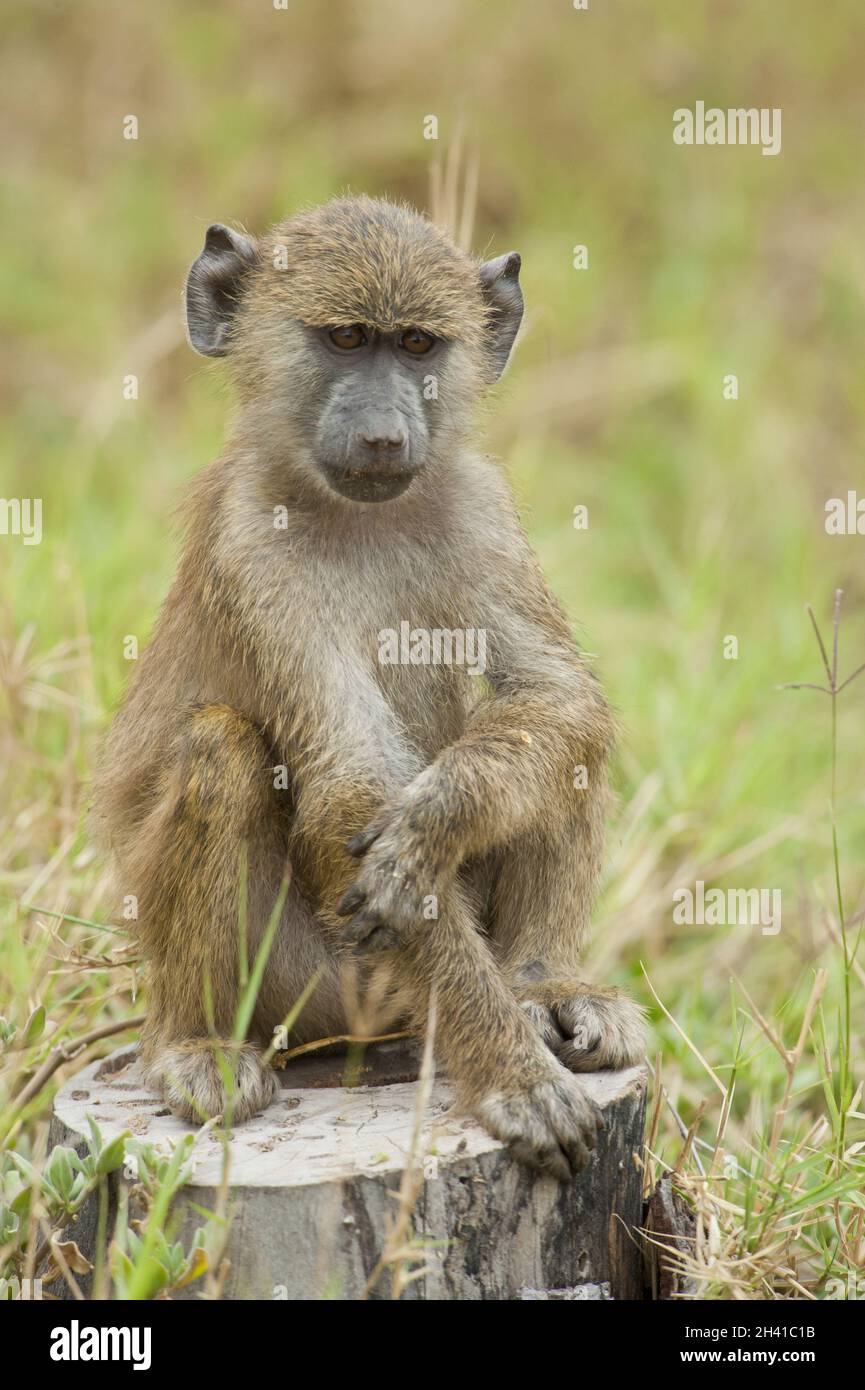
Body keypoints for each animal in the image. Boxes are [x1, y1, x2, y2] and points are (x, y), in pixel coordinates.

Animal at [92, 195, 645, 1182]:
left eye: (418, 345)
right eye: (347, 338)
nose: (386, 435)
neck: (356, 512)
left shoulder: (479, 504)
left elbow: (556, 699)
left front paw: (431, 824)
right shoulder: (253, 548)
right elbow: (347, 780)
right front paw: (512, 1078)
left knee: (561, 737)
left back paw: (544, 989)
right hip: (306, 986)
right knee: (220, 746)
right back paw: (191, 1045)